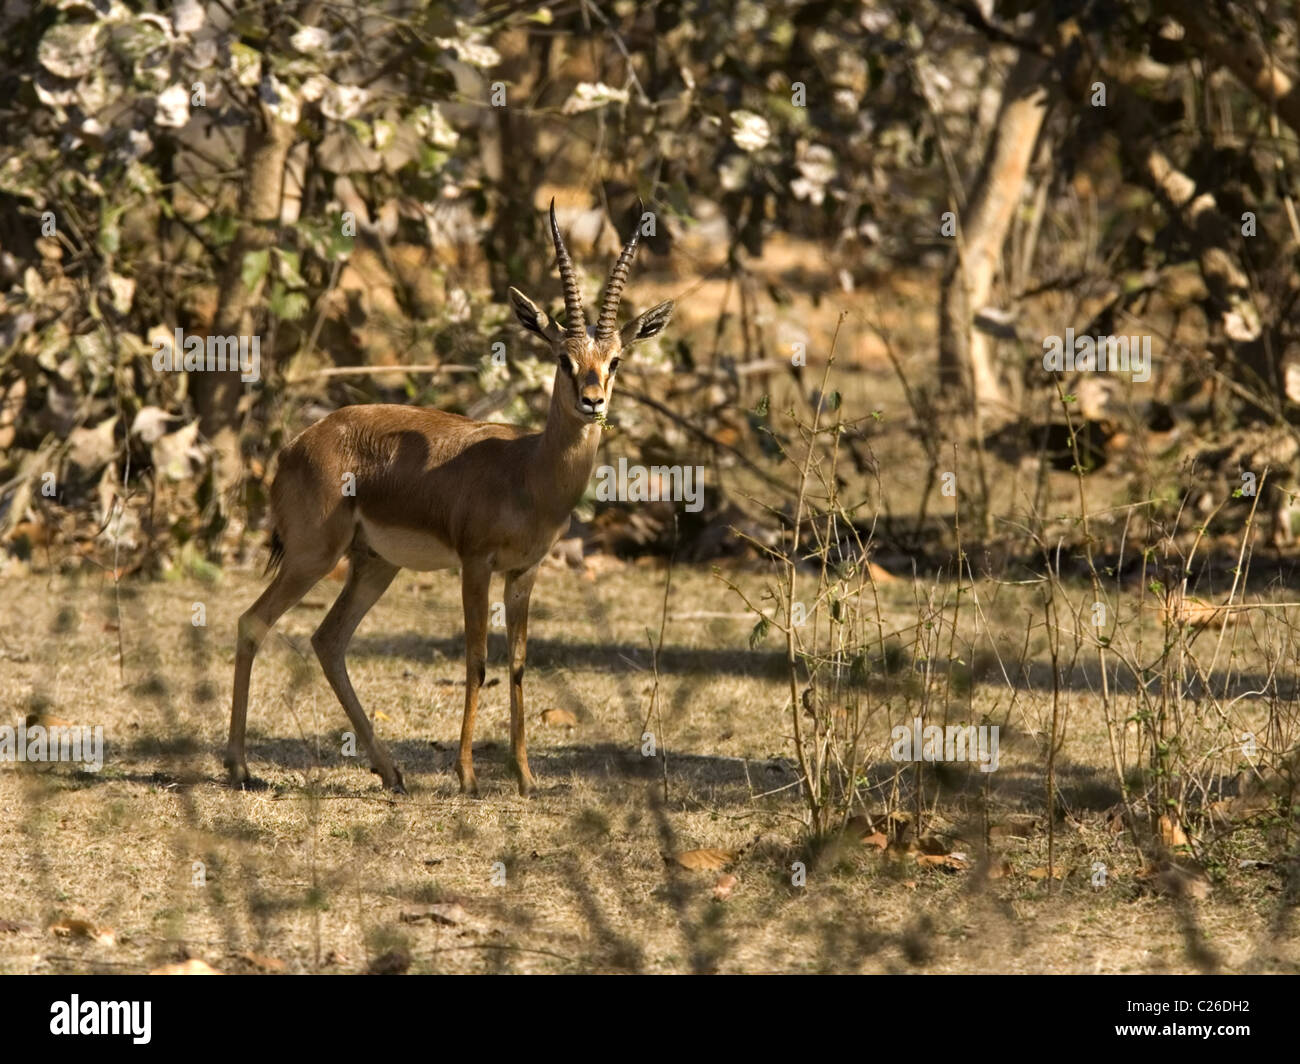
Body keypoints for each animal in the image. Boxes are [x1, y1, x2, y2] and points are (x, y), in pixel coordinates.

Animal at [226, 202, 672, 796]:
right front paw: (467, 775)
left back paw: (391, 771)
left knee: (329, 640)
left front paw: (525, 777)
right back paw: (239, 766)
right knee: (253, 623)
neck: (528, 470)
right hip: (312, 557)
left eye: (616, 359)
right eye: (563, 357)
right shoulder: (475, 564)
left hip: (375, 565)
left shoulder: (524, 572)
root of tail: (297, 444)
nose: (592, 401)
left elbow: (519, 666)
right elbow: (476, 660)